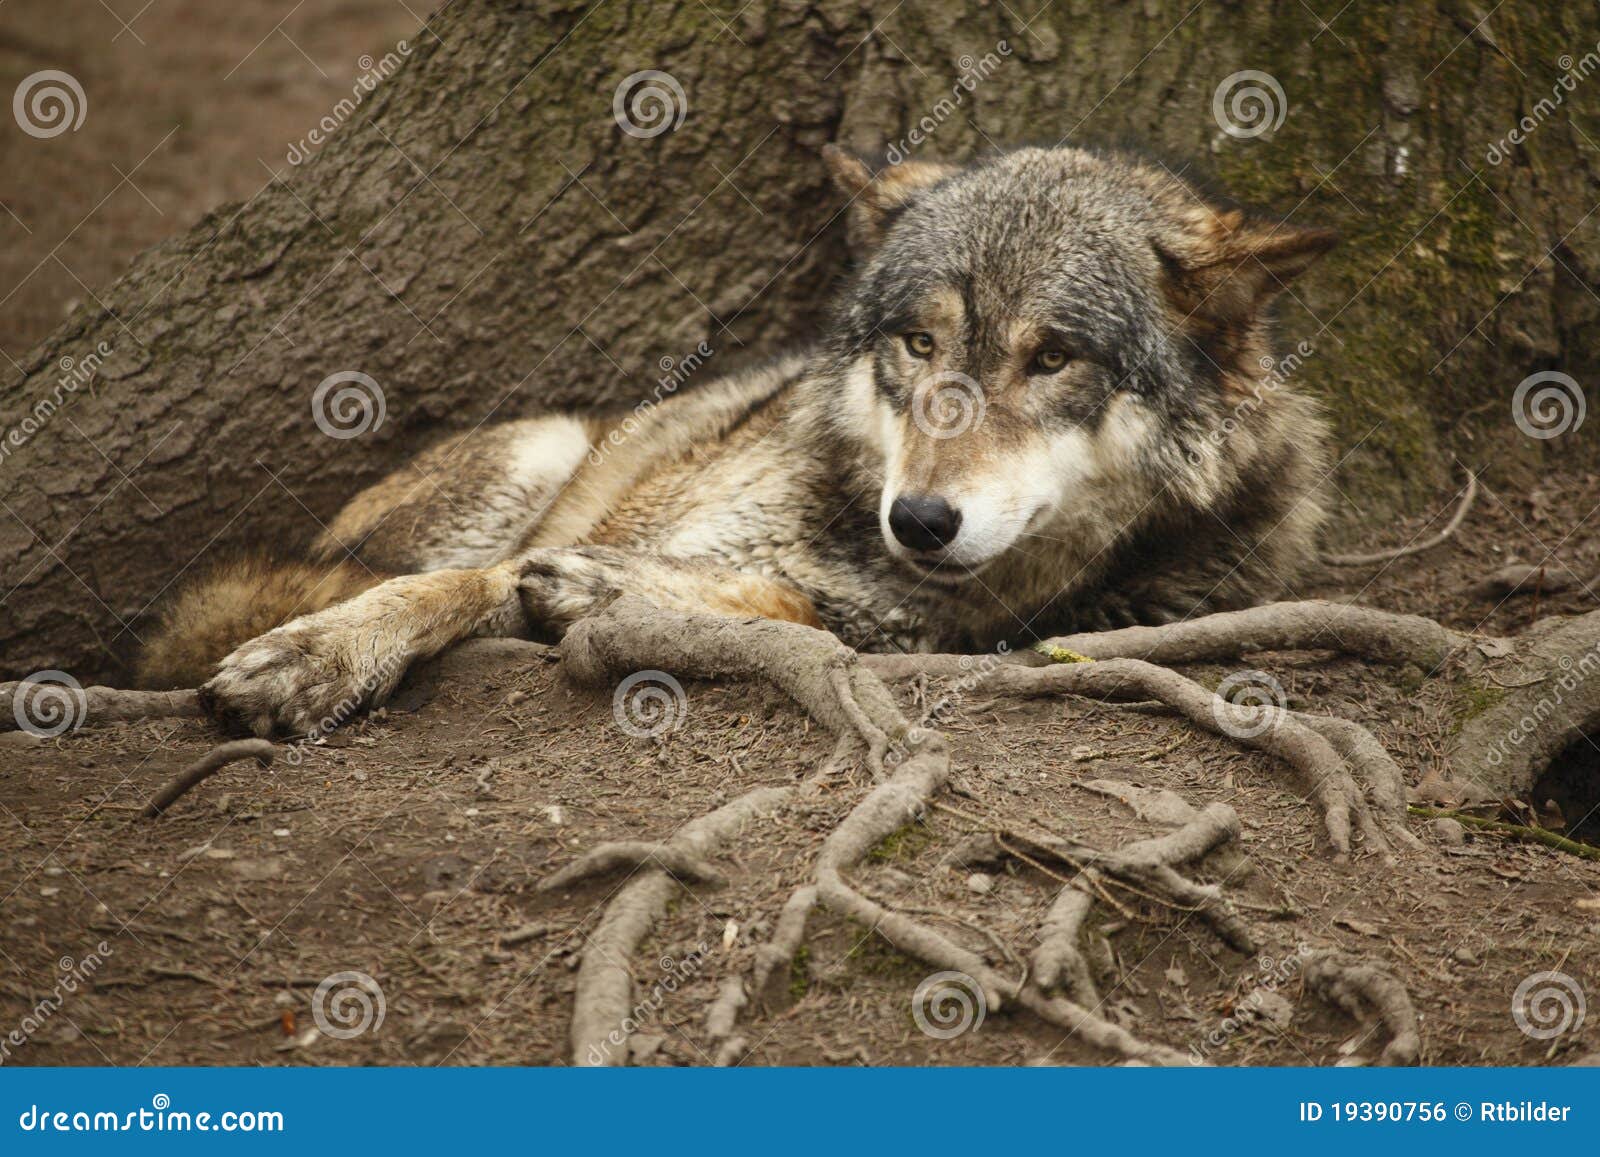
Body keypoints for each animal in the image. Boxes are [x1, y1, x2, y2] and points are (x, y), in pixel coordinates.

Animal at [140, 144, 1338, 738]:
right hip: (540, 455)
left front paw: (617, 593)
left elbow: (792, 614)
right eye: (917, 343)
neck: (851, 540)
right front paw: (312, 659)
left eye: (1051, 360)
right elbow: (453, 588)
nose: (921, 519)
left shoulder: (946, 629)